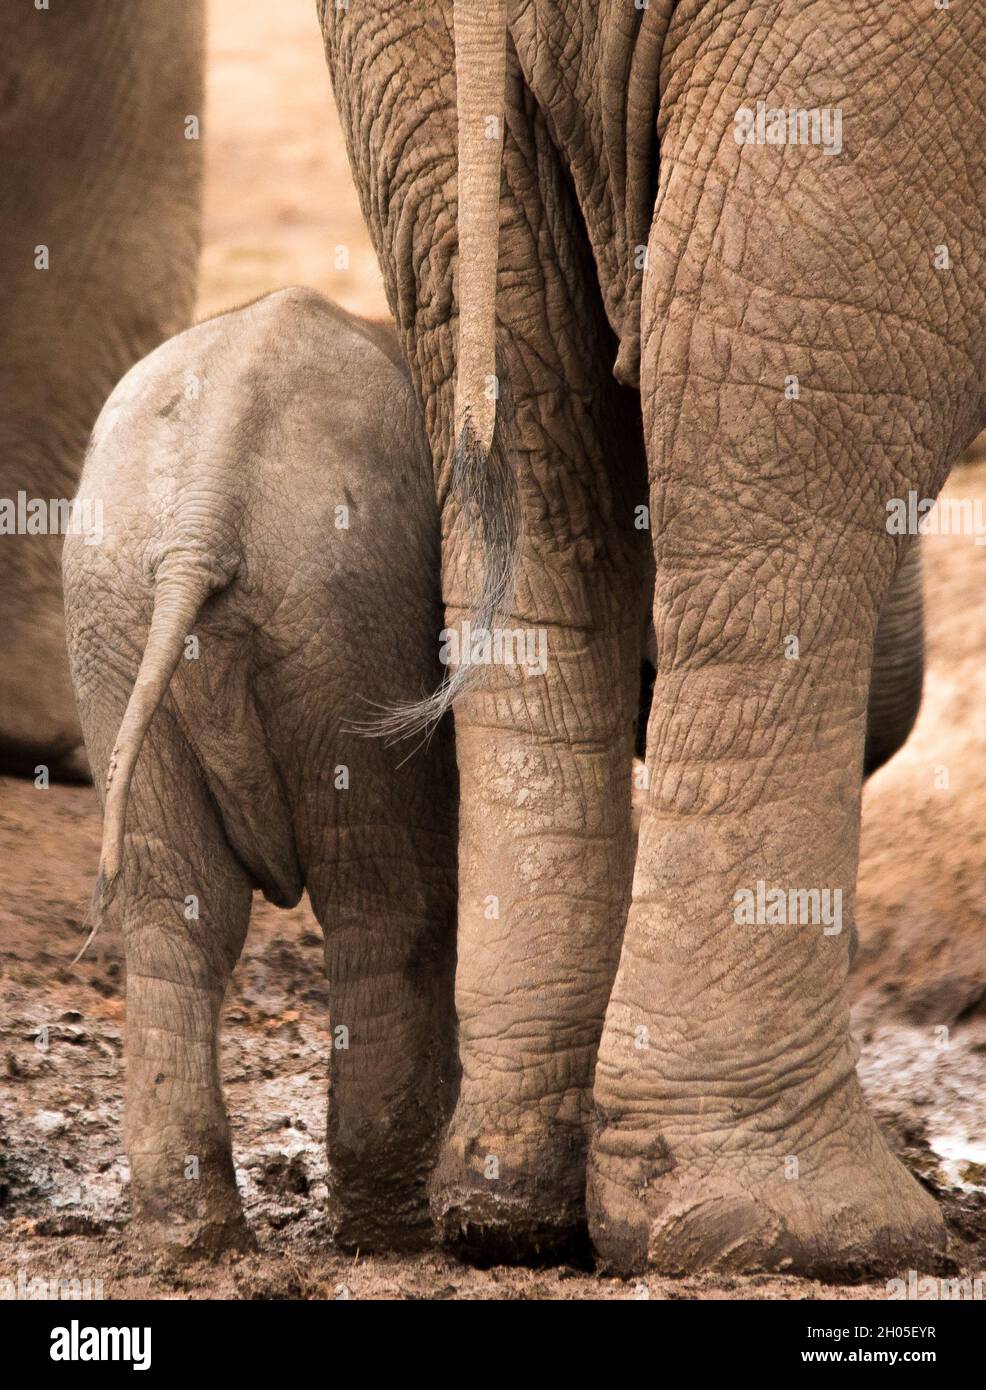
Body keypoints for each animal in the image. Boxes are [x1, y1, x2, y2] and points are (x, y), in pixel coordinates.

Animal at [63, 287, 460, 1256]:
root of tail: (203, 517)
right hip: (348, 608)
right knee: (382, 890)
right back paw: (387, 1230)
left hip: (121, 610)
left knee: (180, 900)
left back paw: (190, 1239)